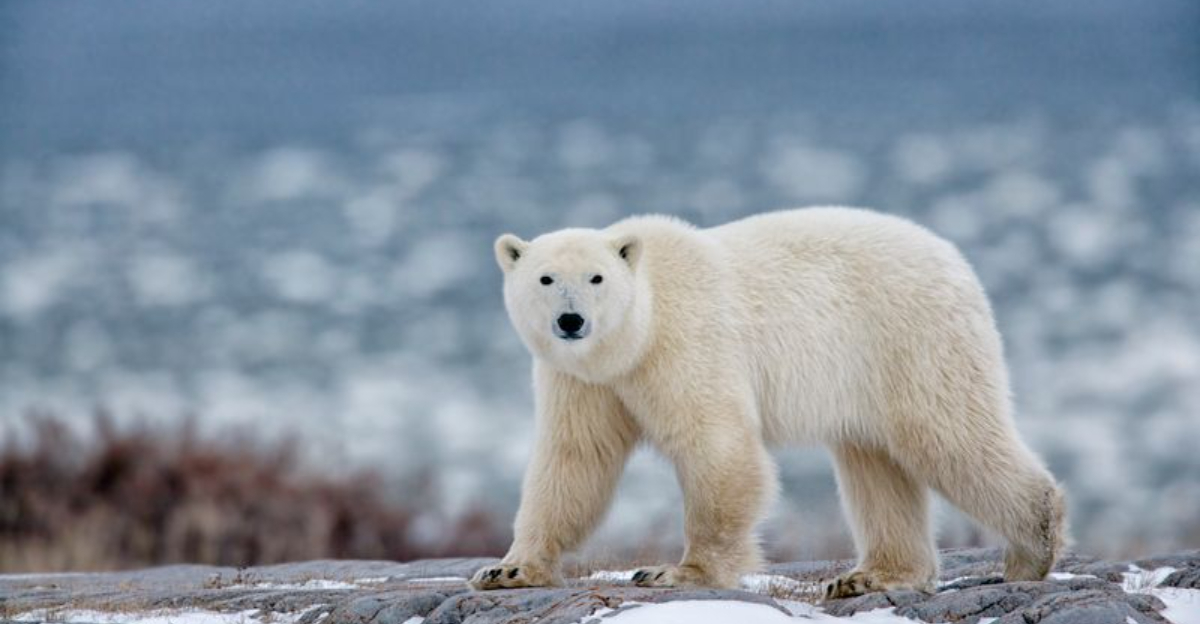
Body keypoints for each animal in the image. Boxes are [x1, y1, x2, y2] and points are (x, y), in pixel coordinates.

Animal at [469, 207, 1066, 598]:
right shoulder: (583, 380)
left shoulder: (686, 344)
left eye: (596, 277)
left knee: (948, 435)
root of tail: (955, 259)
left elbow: (716, 446)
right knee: (875, 464)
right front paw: (508, 570)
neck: (638, 332)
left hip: (910, 339)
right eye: (546, 278)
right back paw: (870, 575)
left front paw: (676, 572)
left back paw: (1032, 548)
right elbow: (574, 460)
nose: (571, 321)